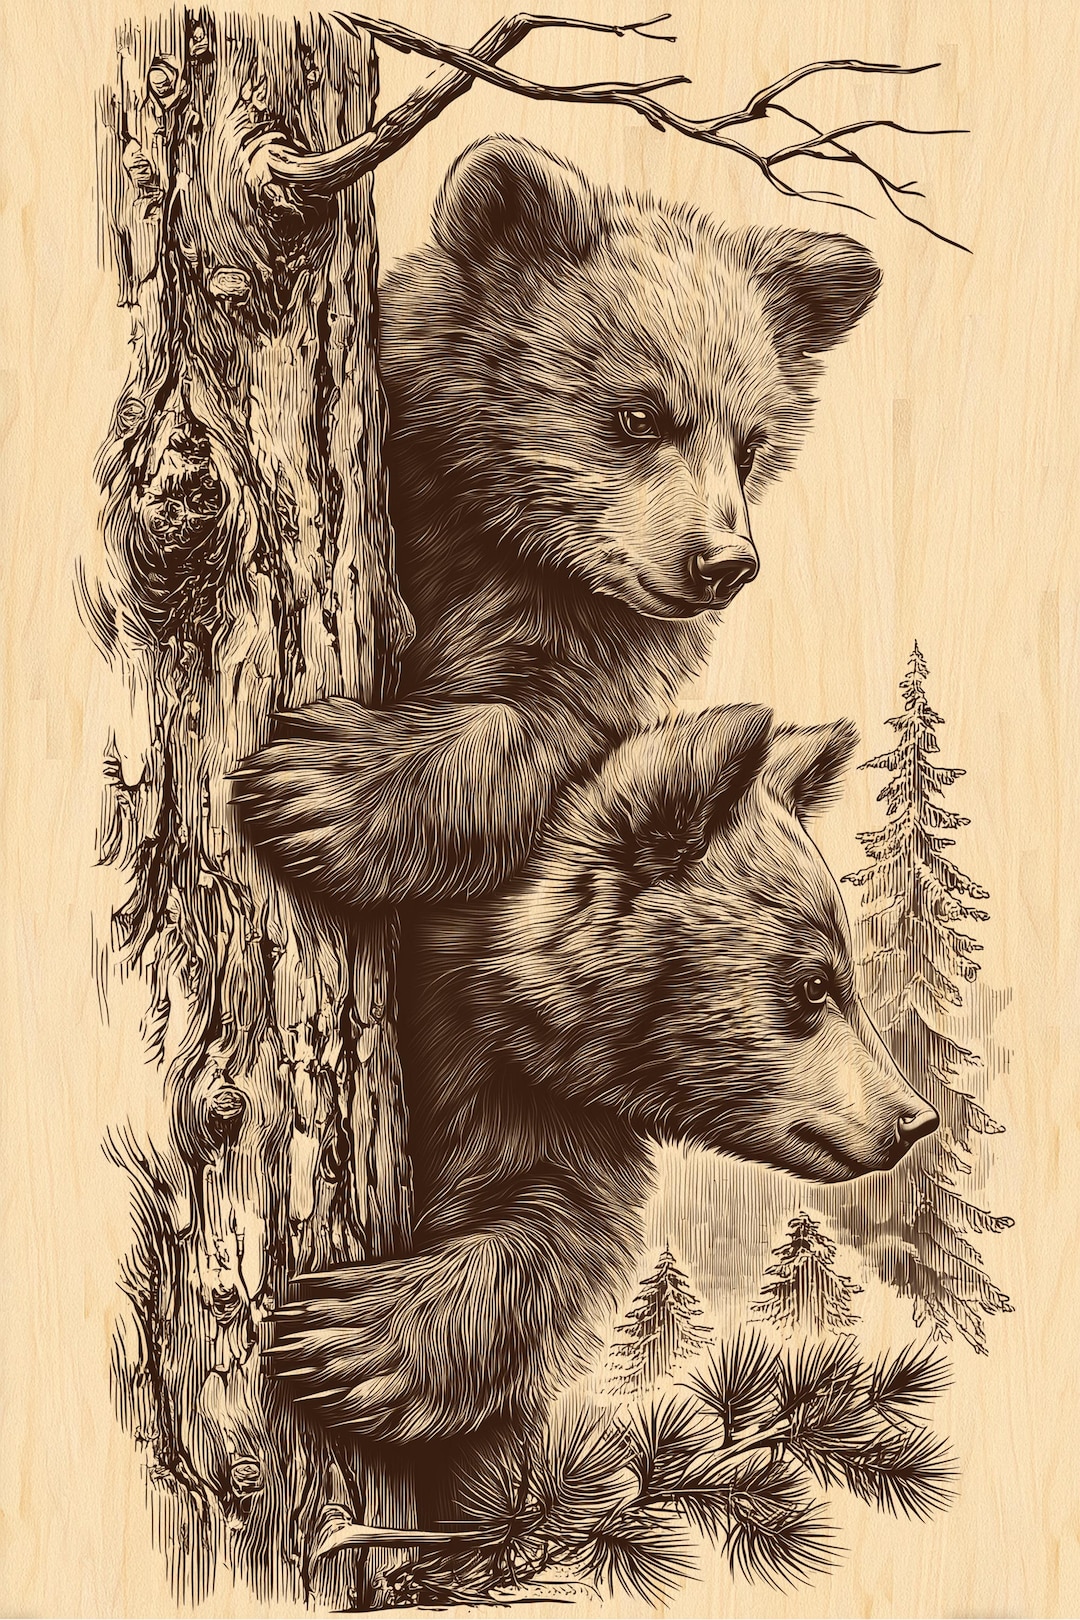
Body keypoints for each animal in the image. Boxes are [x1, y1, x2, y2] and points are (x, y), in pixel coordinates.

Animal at [232, 137, 881, 907]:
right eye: (639, 416)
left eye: (750, 446)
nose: (724, 564)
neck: (507, 526)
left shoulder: (592, 628)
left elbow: (544, 716)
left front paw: (317, 787)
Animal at [268, 707, 937, 1478]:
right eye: (814, 984)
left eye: (843, 977)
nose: (915, 1118)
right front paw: (314, 786)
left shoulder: (551, 1110)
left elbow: (553, 1225)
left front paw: (346, 1335)